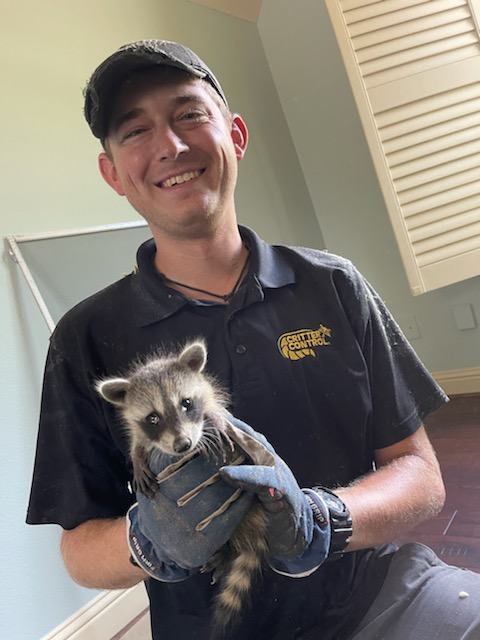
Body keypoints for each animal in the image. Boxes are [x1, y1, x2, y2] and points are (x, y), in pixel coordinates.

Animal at [96, 340, 268, 636]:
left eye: (186, 403)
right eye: (153, 418)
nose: (183, 445)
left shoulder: (211, 397)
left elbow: (218, 411)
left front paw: (215, 419)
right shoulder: (139, 429)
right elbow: (137, 442)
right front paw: (137, 457)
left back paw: (228, 551)